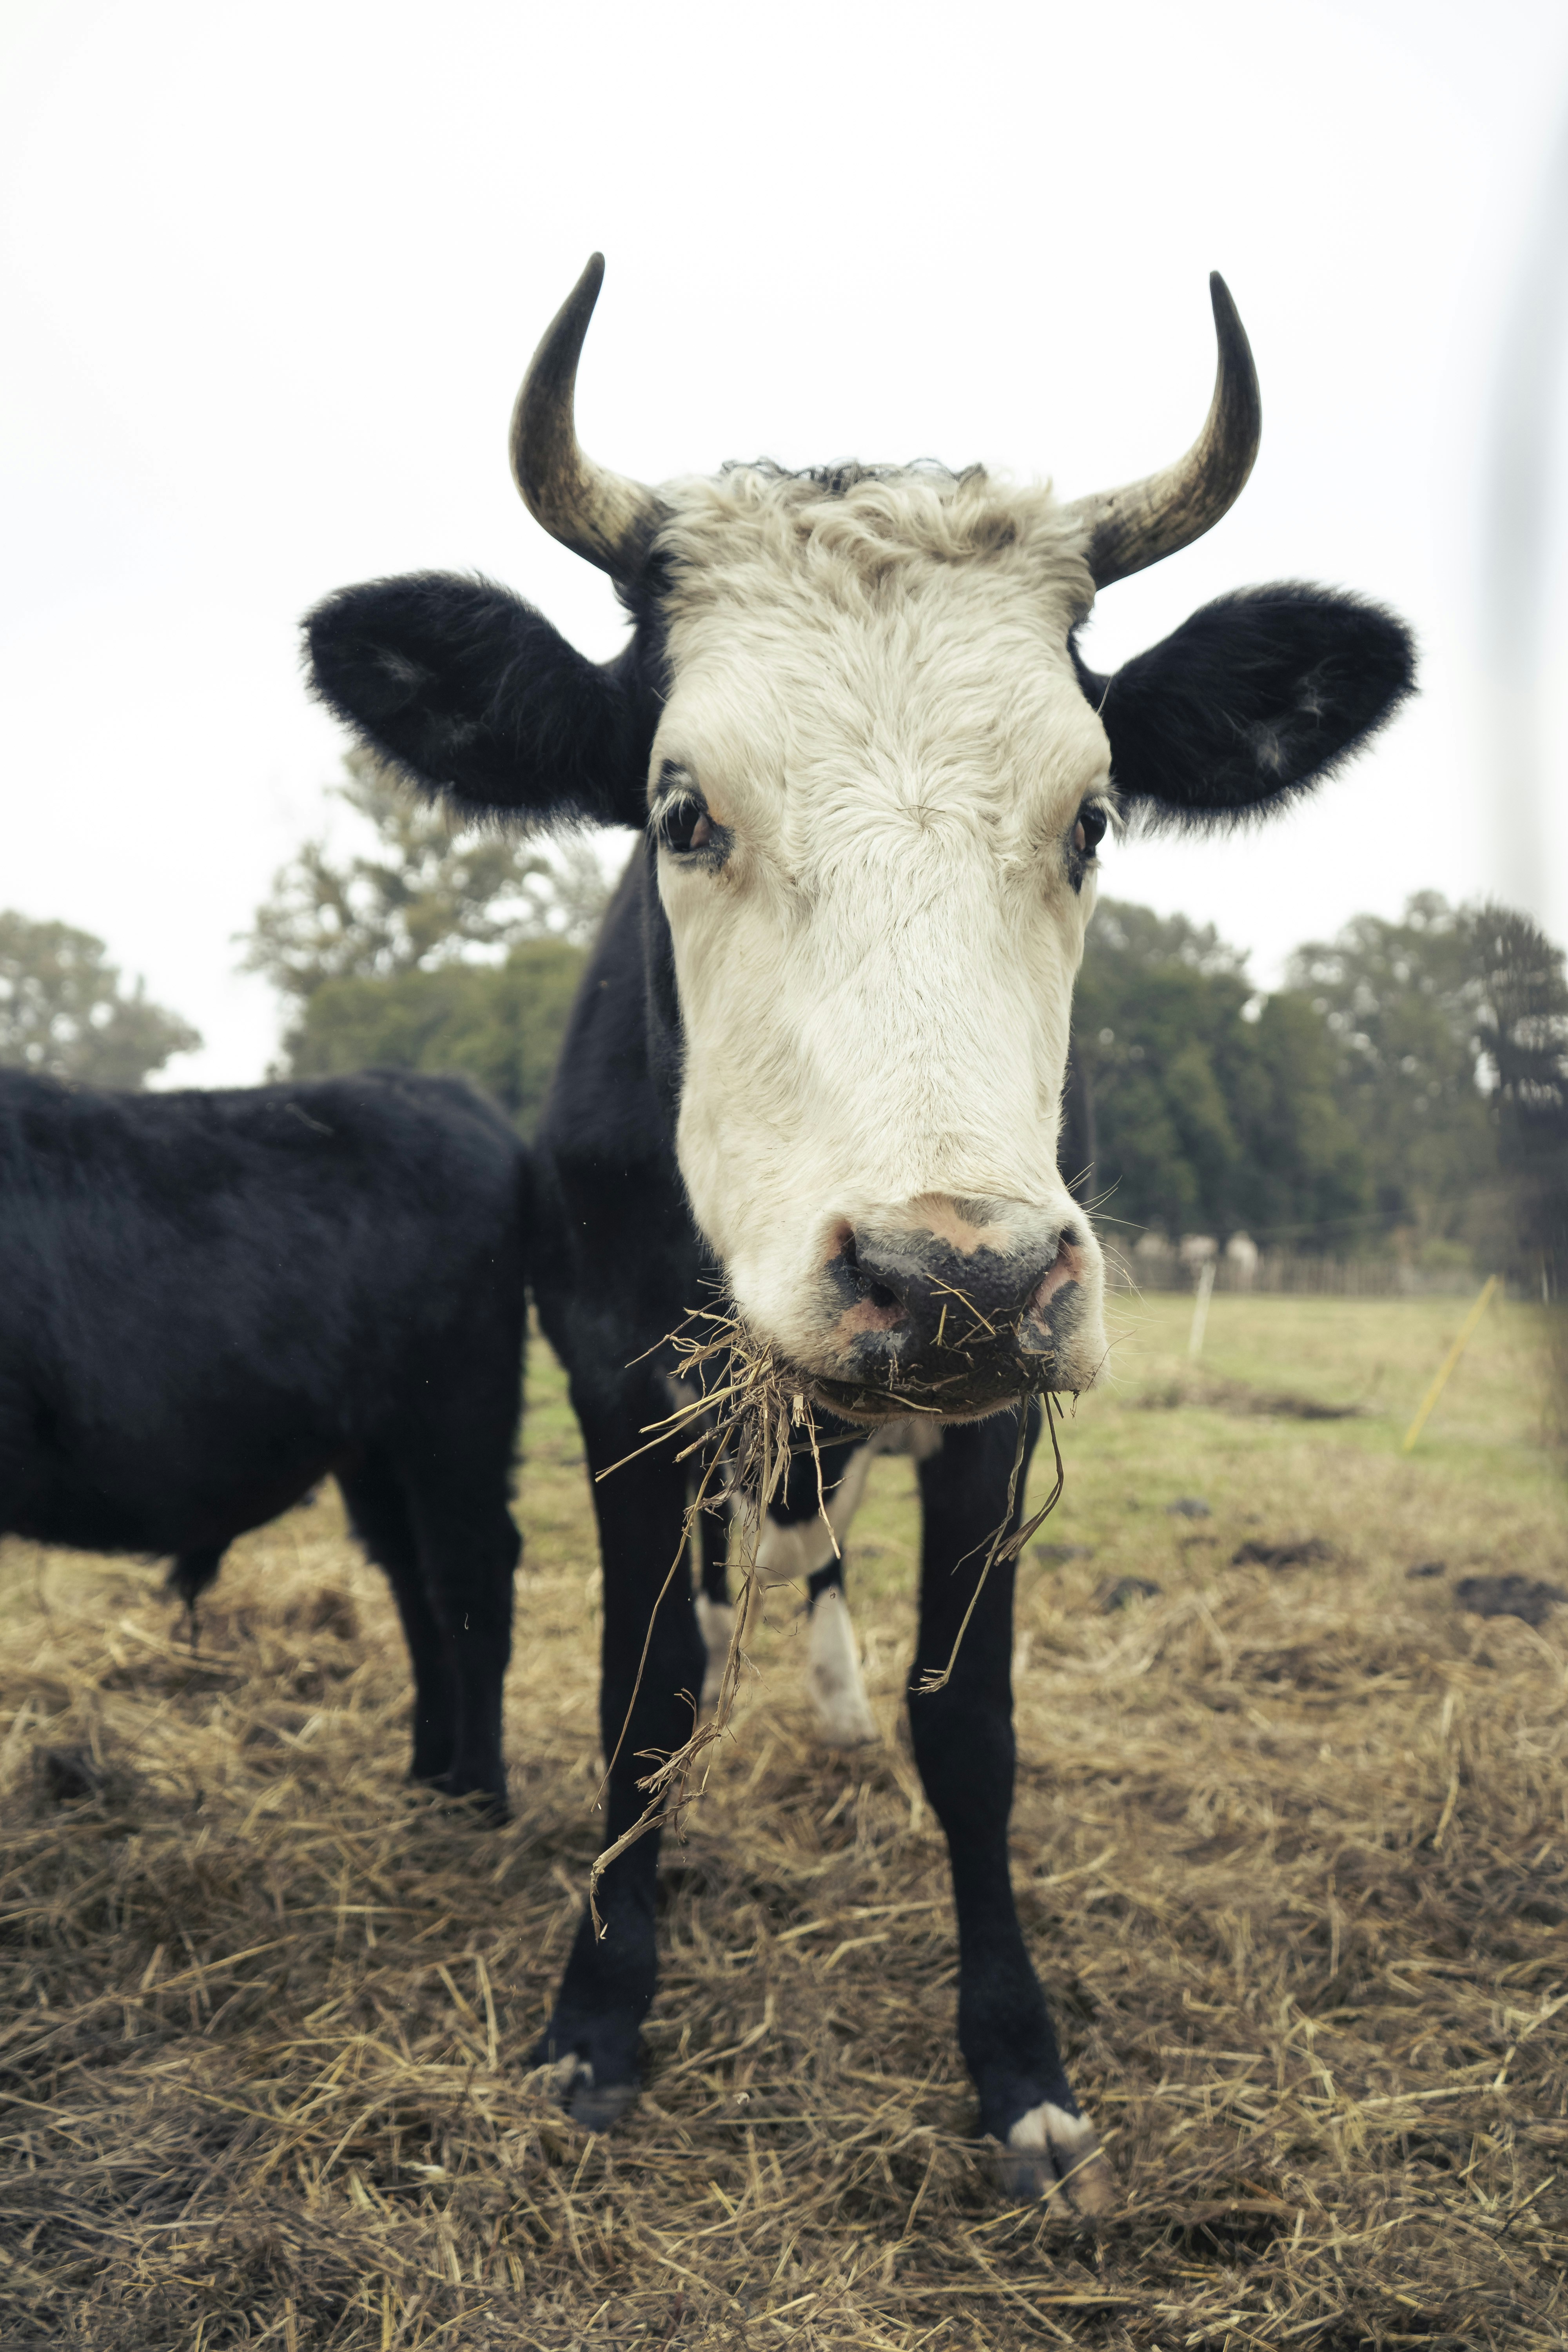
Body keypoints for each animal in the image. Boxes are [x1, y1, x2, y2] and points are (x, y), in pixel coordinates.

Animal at [0, 1068, 527, 1805]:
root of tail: (434, 1088)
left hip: (455, 1425)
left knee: (471, 1581)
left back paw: (478, 1792)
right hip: (379, 1455)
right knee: (416, 1587)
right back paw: (427, 1773)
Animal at [305, 256, 1415, 2211]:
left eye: (1092, 815)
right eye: (680, 810)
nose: (949, 1274)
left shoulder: (996, 1411)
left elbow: (966, 1726)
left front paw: (1017, 2063)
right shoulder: (620, 1386)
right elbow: (646, 1696)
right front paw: (599, 2014)